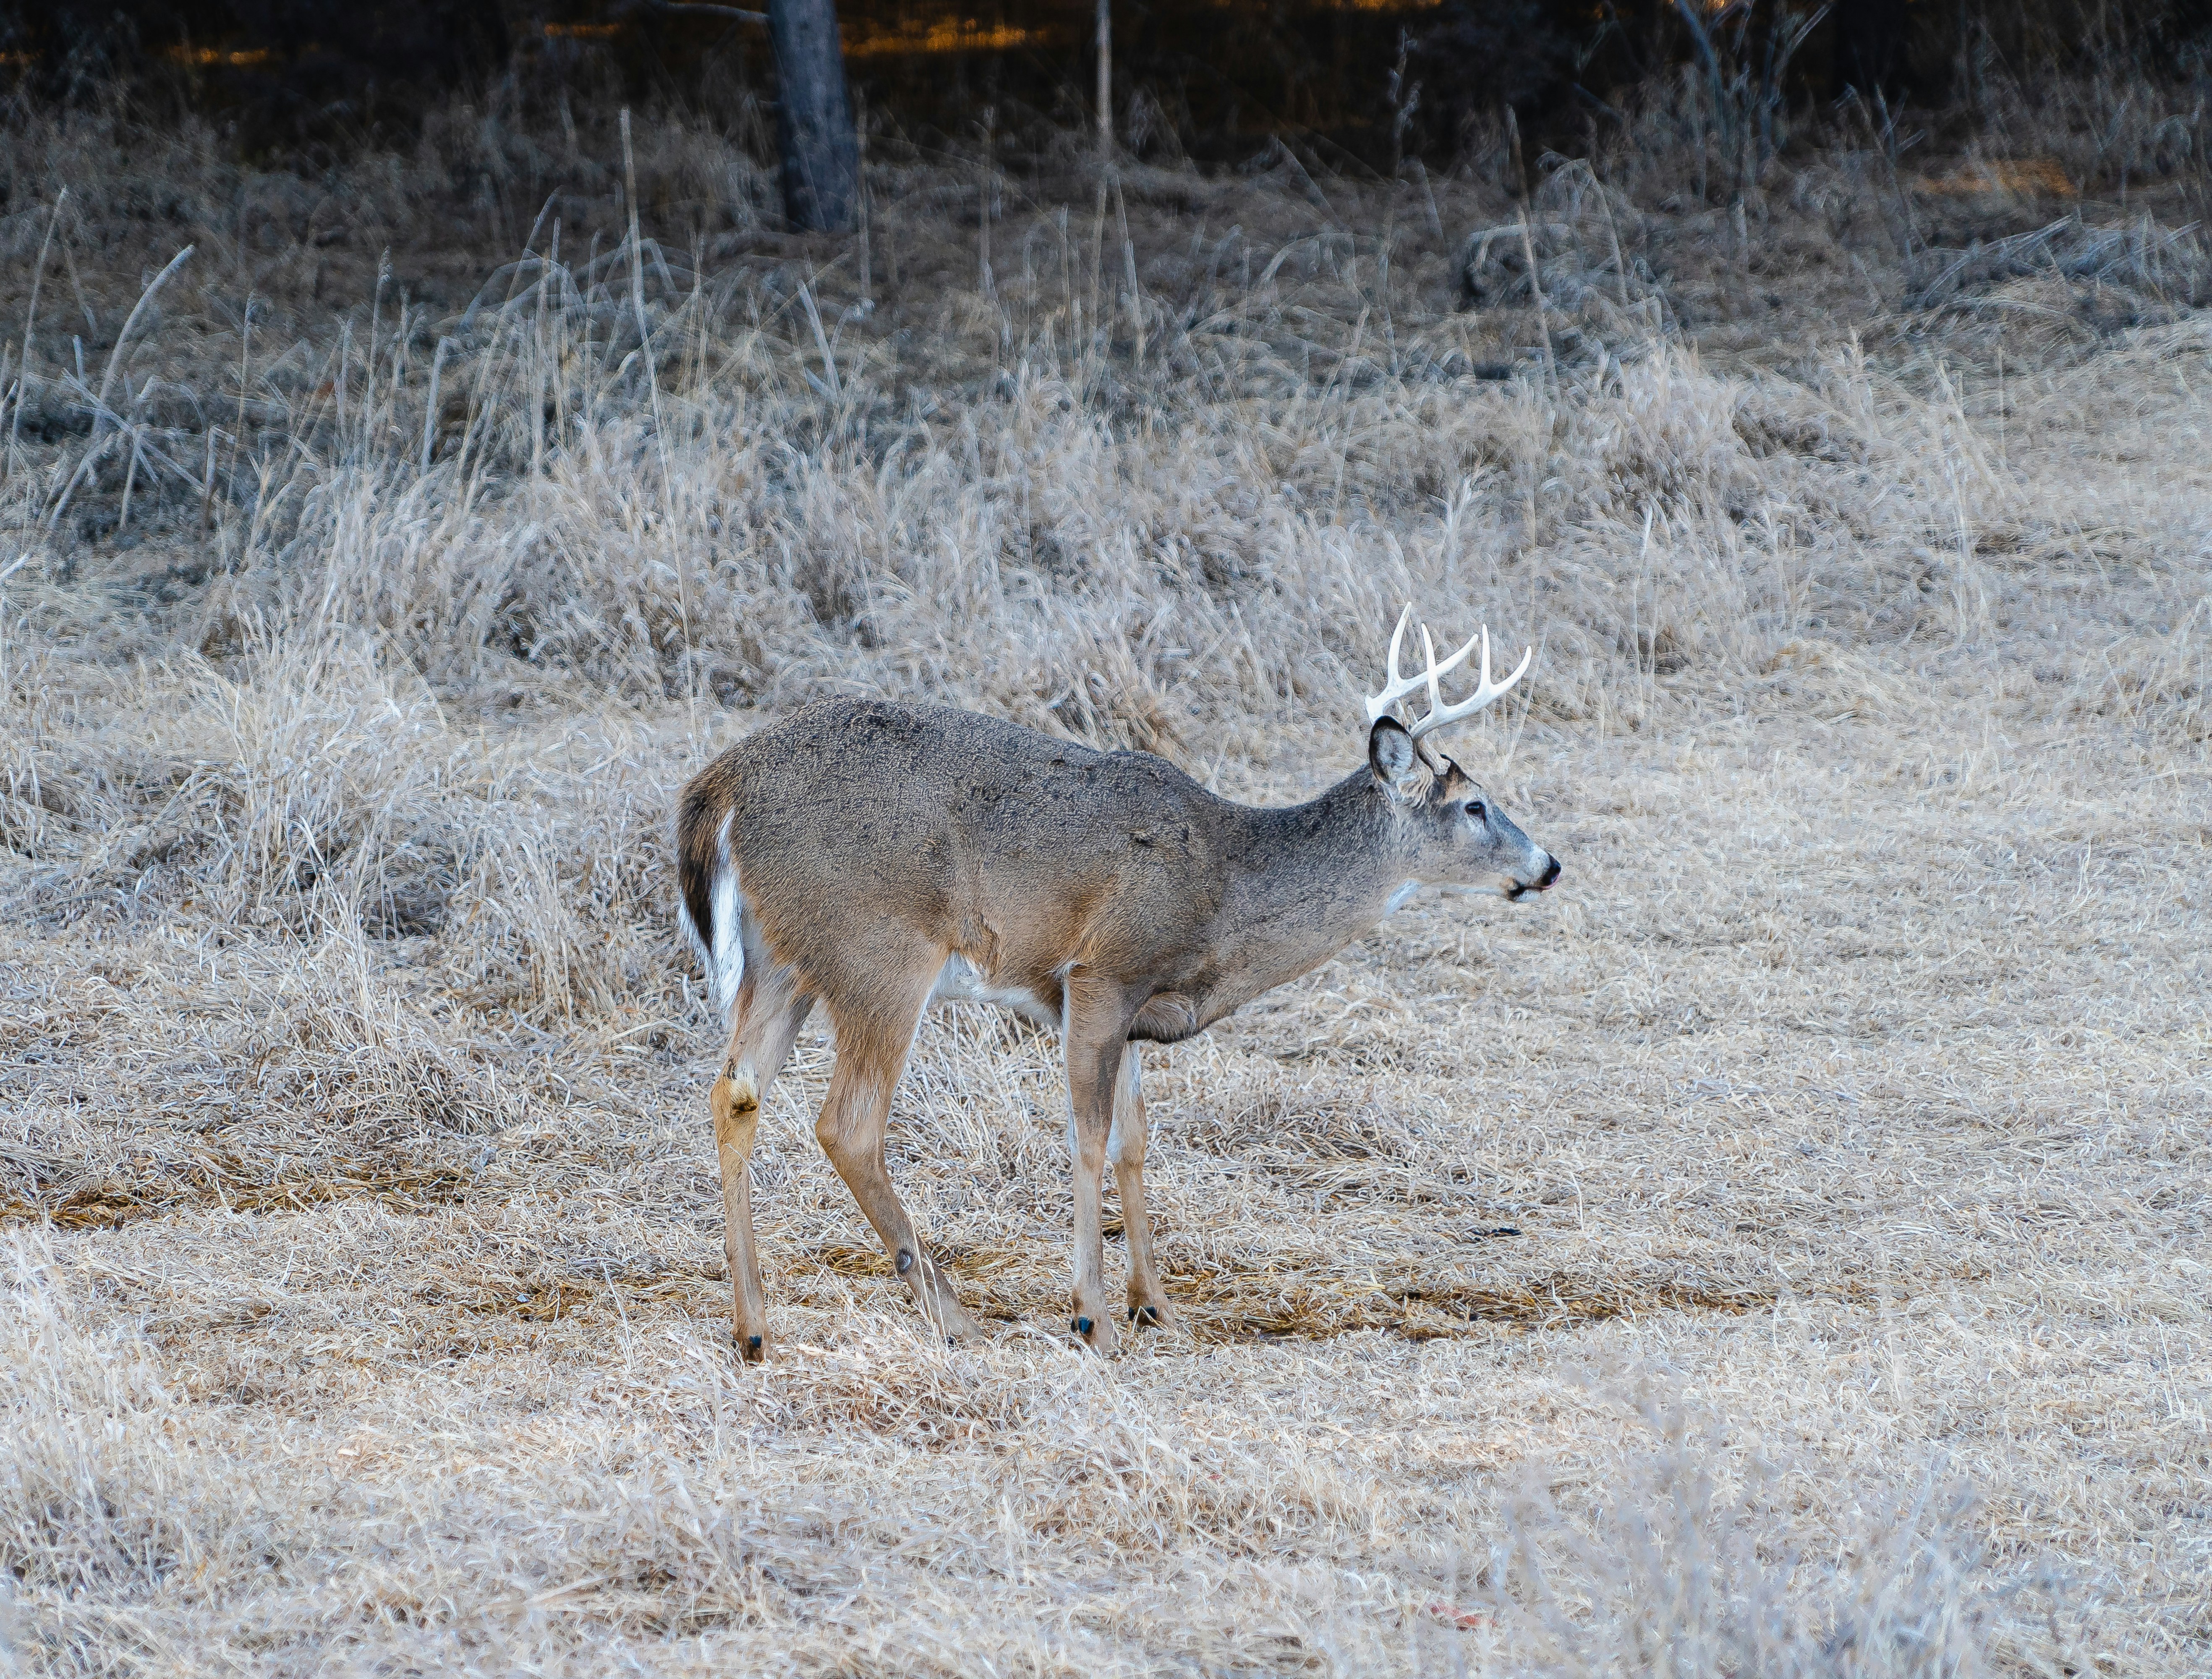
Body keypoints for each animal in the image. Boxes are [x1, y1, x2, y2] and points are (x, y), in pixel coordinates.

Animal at [676, 604, 1560, 1360]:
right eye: (1476, 806)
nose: (1547, 865)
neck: (1226, 887)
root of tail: (722, 785)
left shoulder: (1136, 1011)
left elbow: (1136, 1142)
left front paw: (1155, 1304)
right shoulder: (1100, 974)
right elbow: (1089, 1139)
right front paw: (1092, 1318)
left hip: (783, 959)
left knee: (735, 1093)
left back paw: (752, 1328)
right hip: (880, 954)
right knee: (847, 1125)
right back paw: (953, 1317)